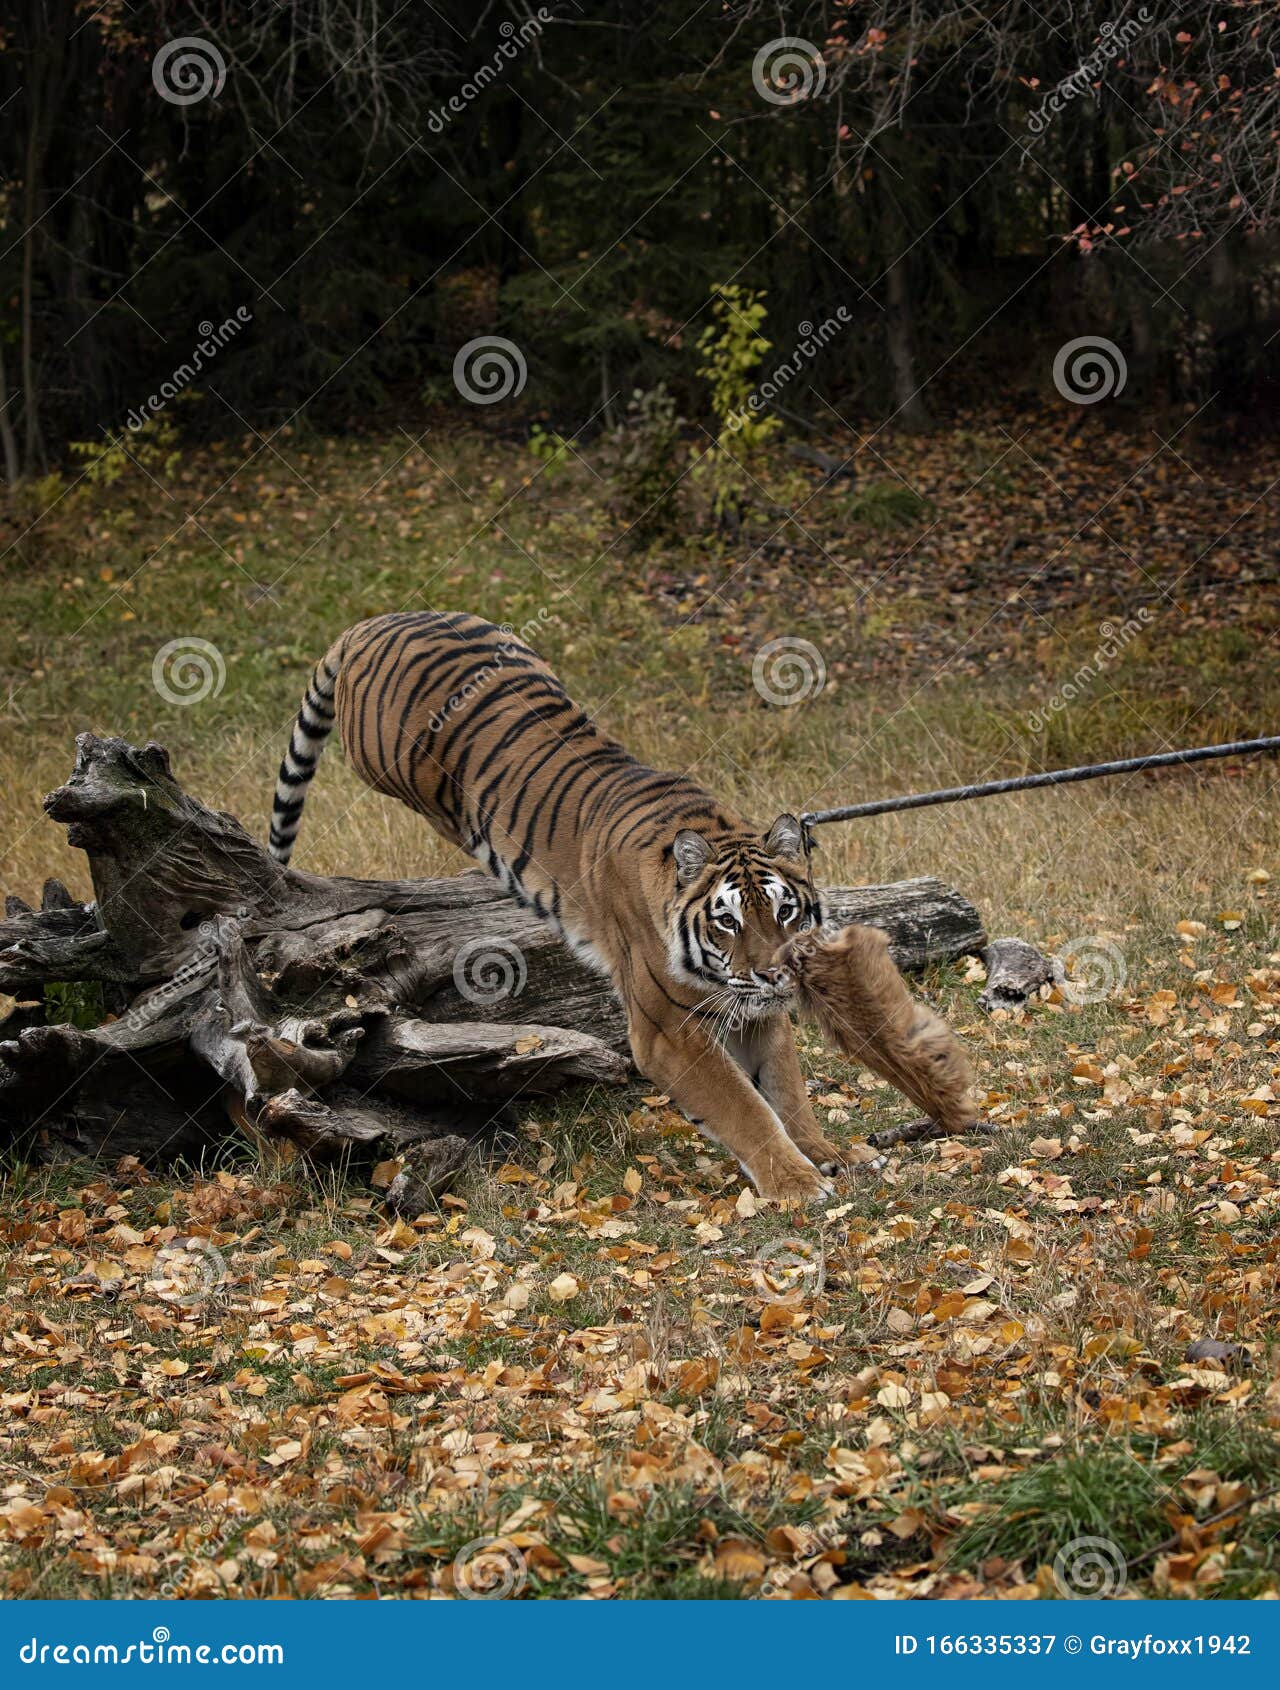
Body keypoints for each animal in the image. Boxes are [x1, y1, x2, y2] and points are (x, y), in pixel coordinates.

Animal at [269, 610, 850, 1200]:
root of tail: (377, 621)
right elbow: (744, 1107)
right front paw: (796, 1183)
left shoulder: (757, 1011)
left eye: (783, 911)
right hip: (379, 754)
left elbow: (785, 1085)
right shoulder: (667, 1031)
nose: (776, 975)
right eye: (727, 921)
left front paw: (825, 1154)